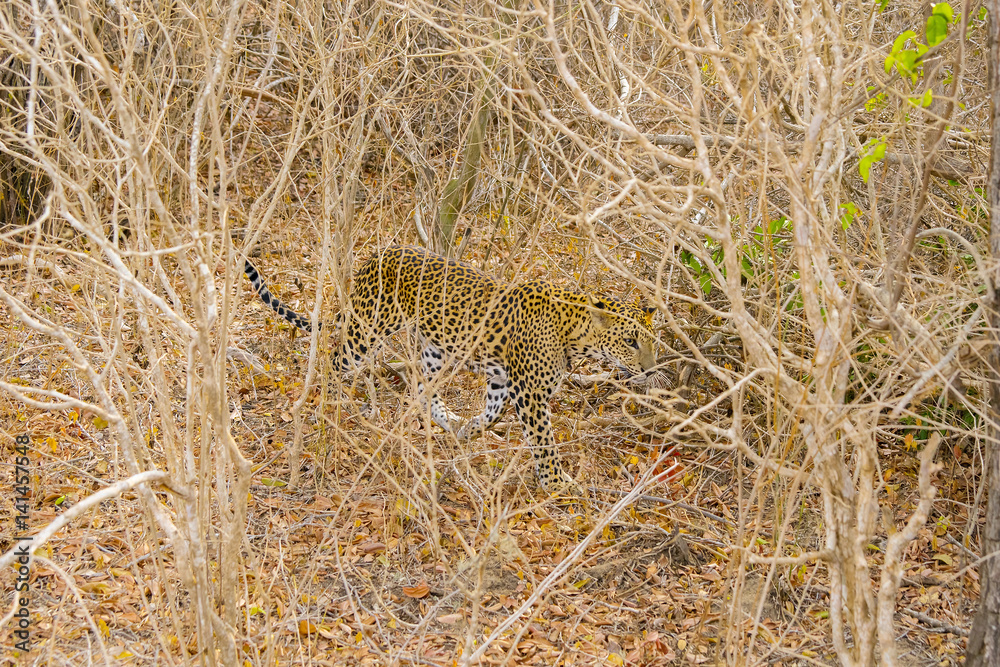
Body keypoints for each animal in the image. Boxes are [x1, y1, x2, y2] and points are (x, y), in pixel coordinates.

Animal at [244, 245, 657, 492]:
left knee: (422, 390)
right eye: (631, 341)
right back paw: (329, 406)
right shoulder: (529, 395)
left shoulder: (501, 380)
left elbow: (491, 415)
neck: (574, 333)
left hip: (434, 349)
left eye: (653, 340)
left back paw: (450, 422)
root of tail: (375, 257)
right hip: (367, 331)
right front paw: (558, 485)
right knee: (333, 360)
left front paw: (470, 431)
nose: (653, 371)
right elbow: (544, 443)